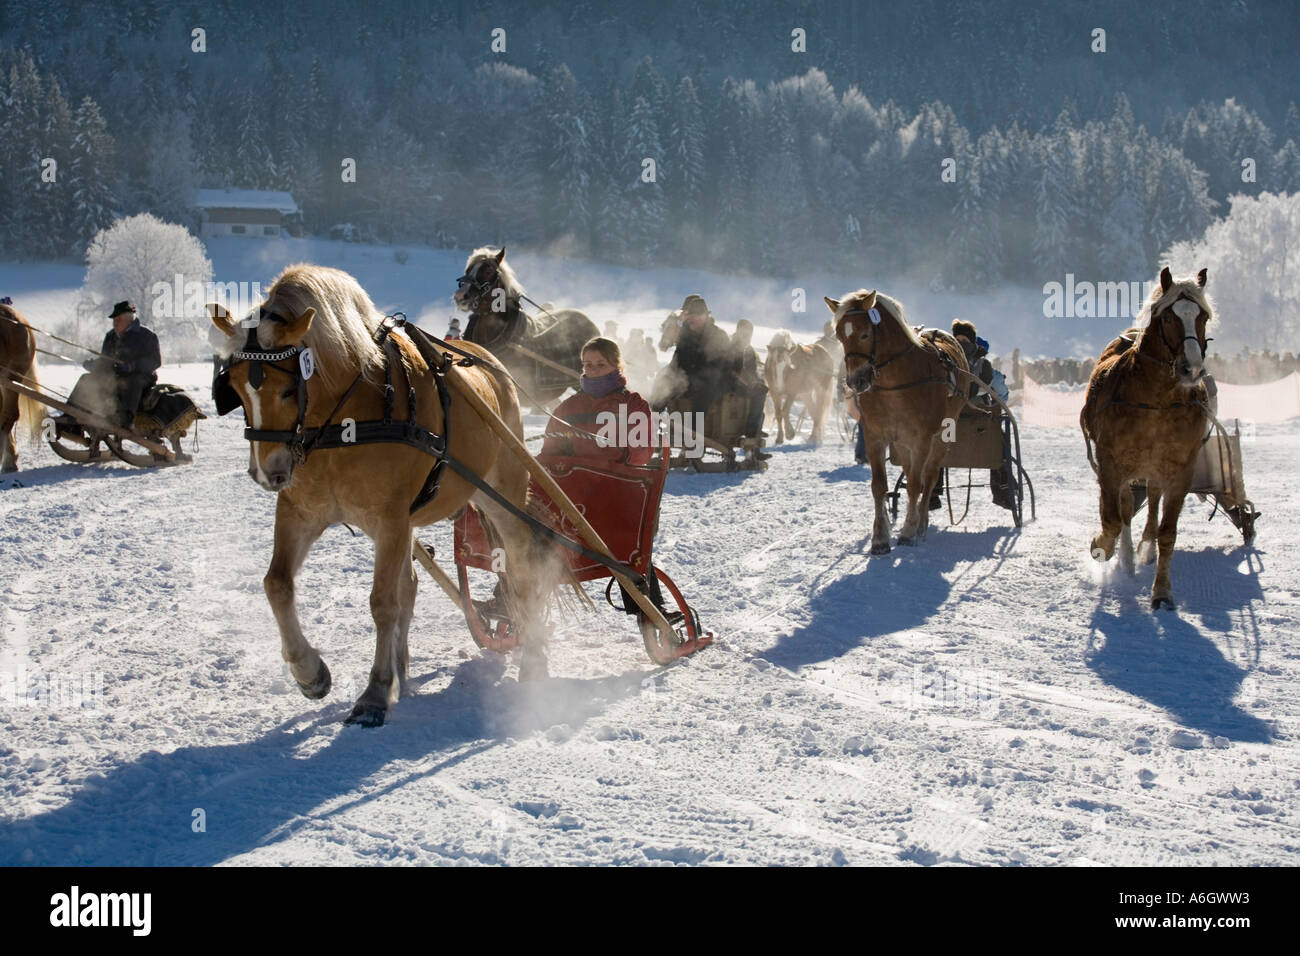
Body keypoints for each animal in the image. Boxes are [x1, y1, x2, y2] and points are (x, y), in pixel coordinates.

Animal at [209, 264, 568, 726]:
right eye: (235, 388)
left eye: (289, 390)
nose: (266, 471)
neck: (344, 423)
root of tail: (491, 362)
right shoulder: (300, 512)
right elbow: (277, 584)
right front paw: (310, 672)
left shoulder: (390, 520)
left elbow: (382, 603)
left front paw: (375, 693)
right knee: (410, 586)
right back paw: (402, 666)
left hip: (501, 492)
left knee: (522, 571)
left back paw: (533, 659)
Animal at [828, 289, 968, 554]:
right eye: (840, 336)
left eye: (864, 333)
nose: (854, 381)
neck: (896, 383)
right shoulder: (874, 436)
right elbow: (878, 486)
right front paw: (880, 537)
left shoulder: (921, 439)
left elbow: (915, 484)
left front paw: (908, 531)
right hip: (901, 443)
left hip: (941, 437)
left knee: (929, 477)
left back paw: (921, 523)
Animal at [1081, 267, 1214, 609]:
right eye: (1168, 317)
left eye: (1203, 316)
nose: (1191, 368)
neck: (1156, 401)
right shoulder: (1110, 462)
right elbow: (1114, 518)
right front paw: (1102, 546)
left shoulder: (1181, 469)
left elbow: (1167, 531)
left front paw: (1162, 591)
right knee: (1126, 508)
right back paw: (1126, 558)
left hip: (1153, 469)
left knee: (1152, 501)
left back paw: (1144, 549)